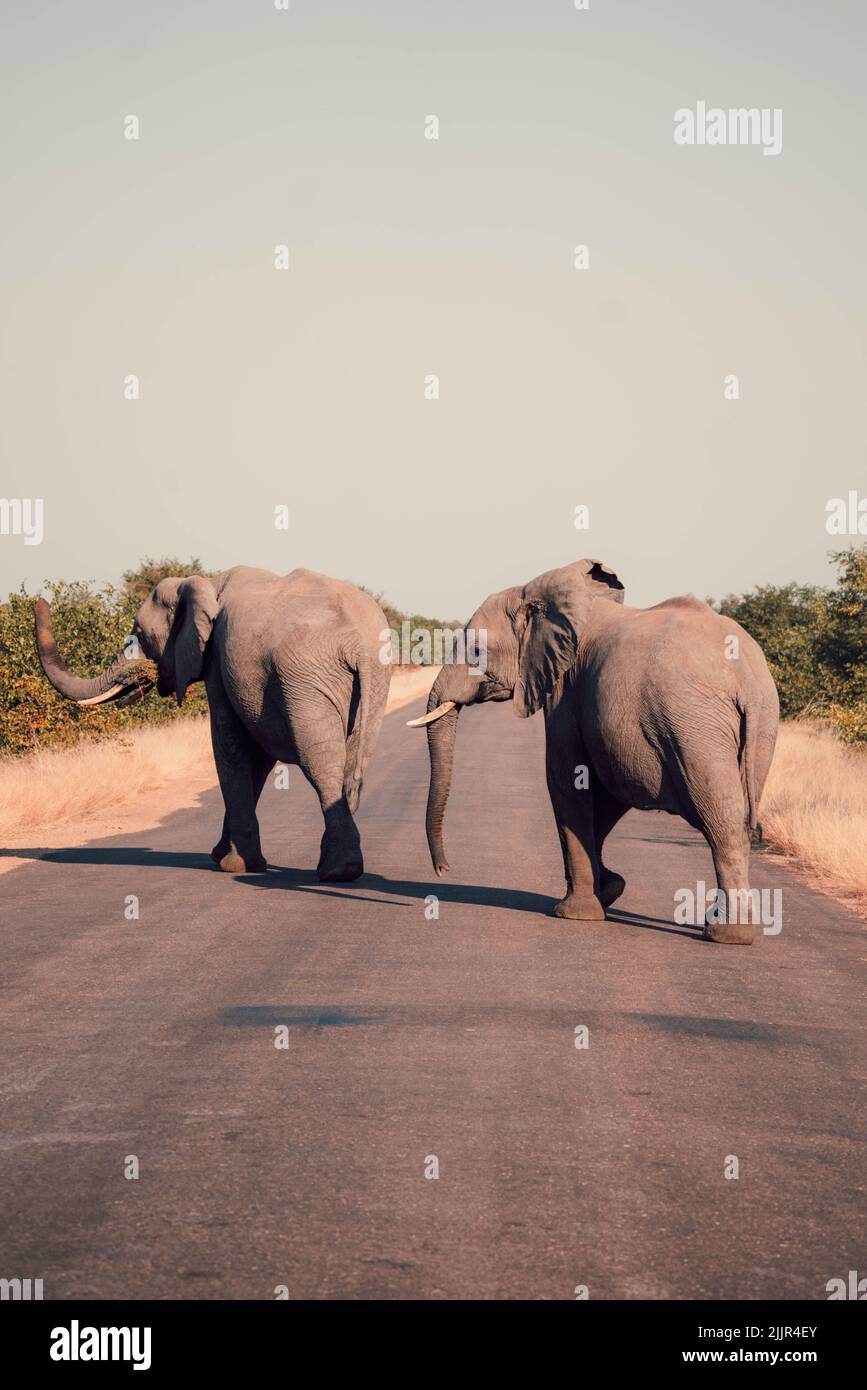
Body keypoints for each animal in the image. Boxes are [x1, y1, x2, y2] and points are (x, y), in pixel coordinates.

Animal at [34, 566, 392, 882]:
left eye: (140, 636)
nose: (39, 601)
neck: (206, 582)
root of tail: (355, 642)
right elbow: (257, 759)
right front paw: (222, 855)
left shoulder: (218, 661)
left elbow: (230, 744)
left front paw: (235, 865)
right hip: (372, 682)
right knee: (350, 763)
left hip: (306, 678)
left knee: (321, 764)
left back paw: (338, 872)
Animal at [409, 558, 780, 944]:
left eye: (477, 652)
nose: (443, 868)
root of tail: (746, 677)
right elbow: (607, 793)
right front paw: (611, 889)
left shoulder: (566, 692)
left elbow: (568, 781)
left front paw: (574, 913)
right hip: (760, 726)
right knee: (739, 819)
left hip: (695, 726)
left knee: (722, 818)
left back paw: (728, 934)